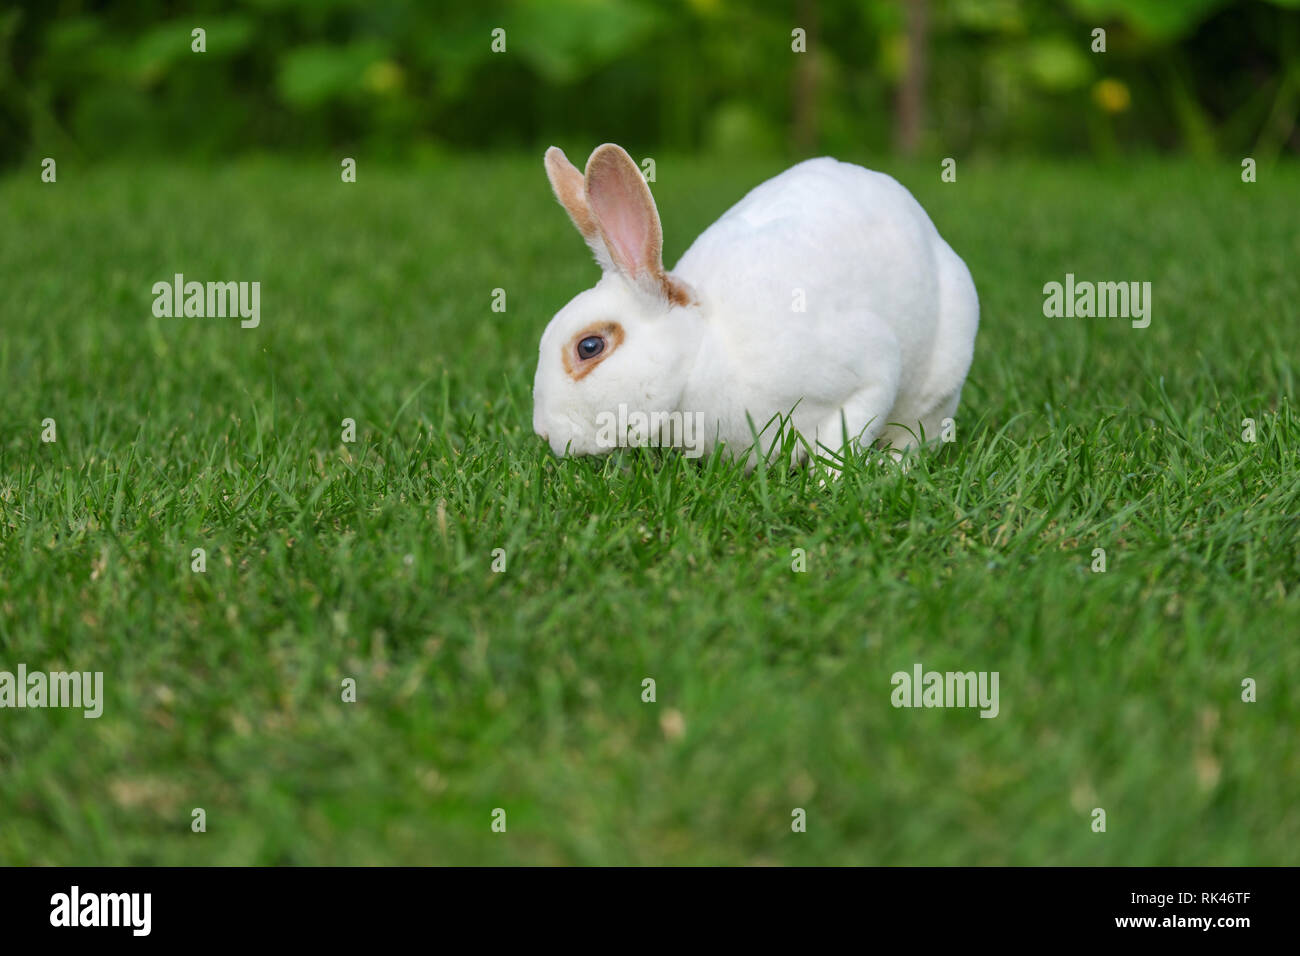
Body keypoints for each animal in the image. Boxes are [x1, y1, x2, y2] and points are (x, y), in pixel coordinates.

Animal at [532, 143, 978, 469]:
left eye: (589, 347)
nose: (543, 433)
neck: (702, 354)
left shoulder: (869, 369)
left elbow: (843, 440)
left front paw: (826, 484)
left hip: (938, 389)